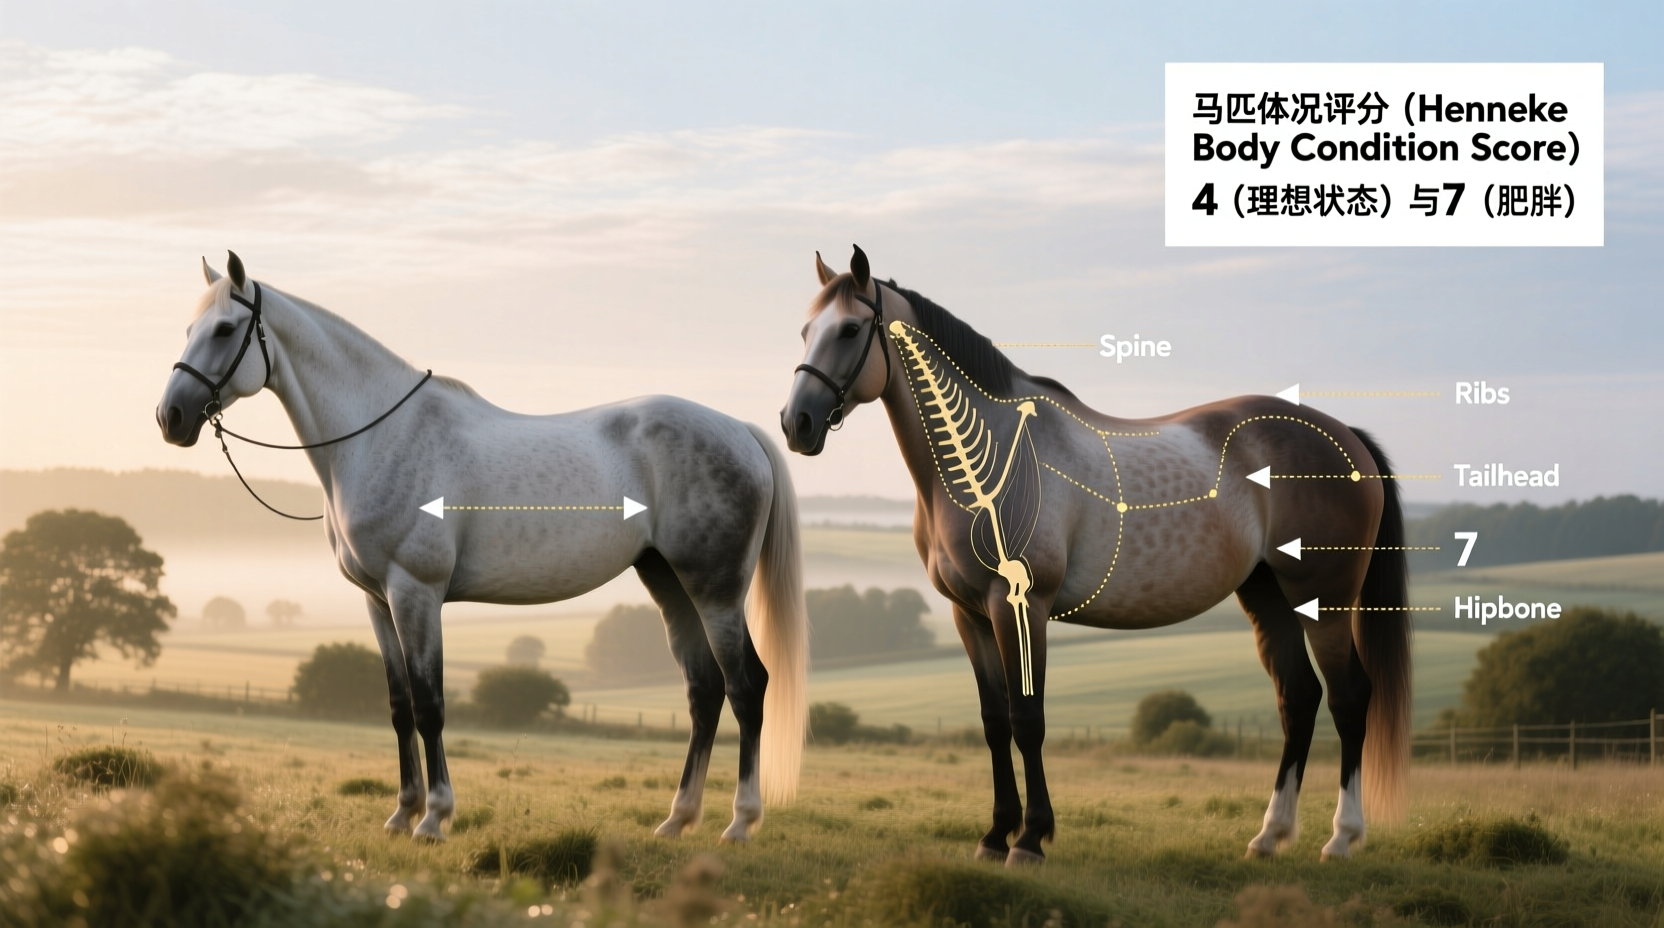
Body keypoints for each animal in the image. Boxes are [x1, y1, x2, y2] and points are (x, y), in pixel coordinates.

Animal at [157, 252, 806, 843]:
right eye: (188, 329)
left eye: (224, 329)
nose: (171, 416)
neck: (380, 435)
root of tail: (743, 433)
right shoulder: (377, 600)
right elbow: (398, 707)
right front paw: (402, 814)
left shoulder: (415, 593)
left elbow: (430, 704)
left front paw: (434, 819)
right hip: (668, 581)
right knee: (704, 692)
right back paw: (677, 820)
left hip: (715, 590)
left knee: (747, 687)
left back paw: (739, 824)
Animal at [780, 246, 1411, 866]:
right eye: (806, 330)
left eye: (850, 329)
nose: (796, 423)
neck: (991, 462)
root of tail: (1345, 436)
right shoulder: (968, 614)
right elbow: (993, 723)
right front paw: (995, 835)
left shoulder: (1022, 606)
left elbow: (1027, 719)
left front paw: (1030, 839)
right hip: (1268, 595)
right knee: (1298, 698)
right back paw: (1270, 836)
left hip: (1324, 600)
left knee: (1349, 698)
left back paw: (1341, 839)